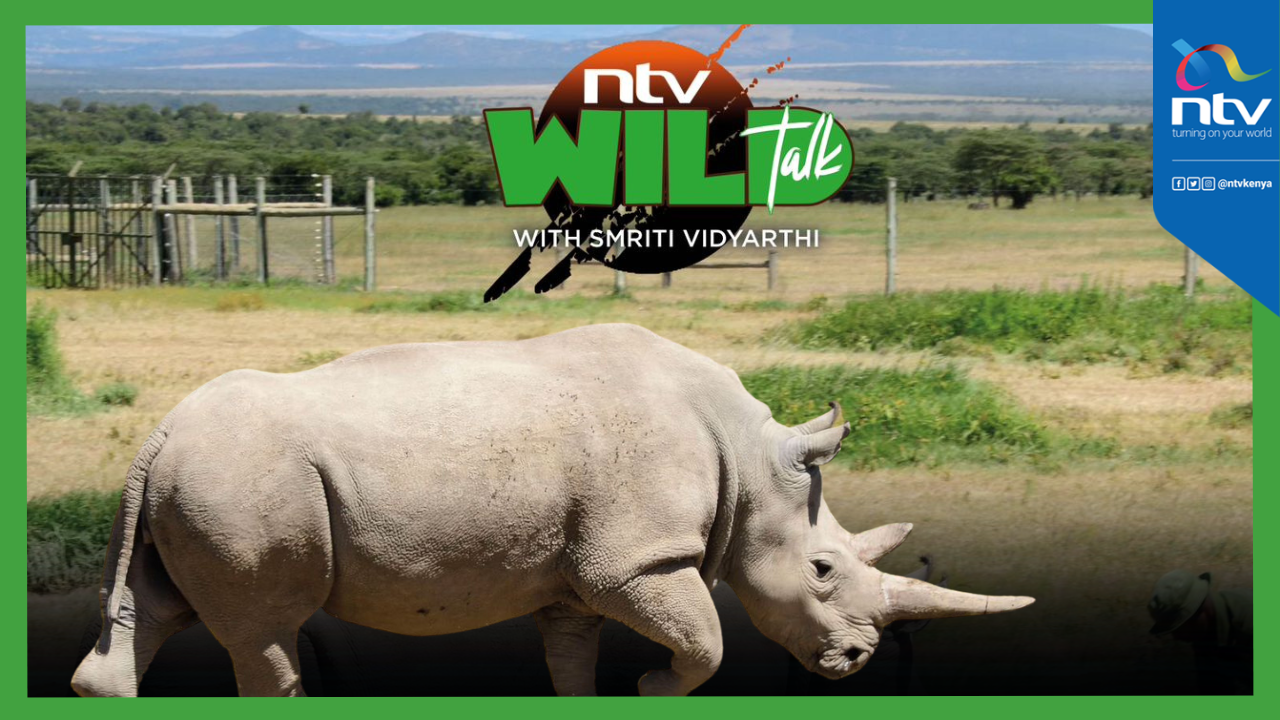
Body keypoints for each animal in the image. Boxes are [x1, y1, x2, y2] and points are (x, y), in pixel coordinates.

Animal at [71, 323, 1032, 697]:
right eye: (823, 569)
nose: (856, 661)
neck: (750, 461)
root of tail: (157, 434)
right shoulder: (635, 559)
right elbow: (706, 644)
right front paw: (650, 685)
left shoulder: (574, 579)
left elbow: (571, 662)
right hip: (243, 483)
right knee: (266, 636)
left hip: (193, 484)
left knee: (150, 611)